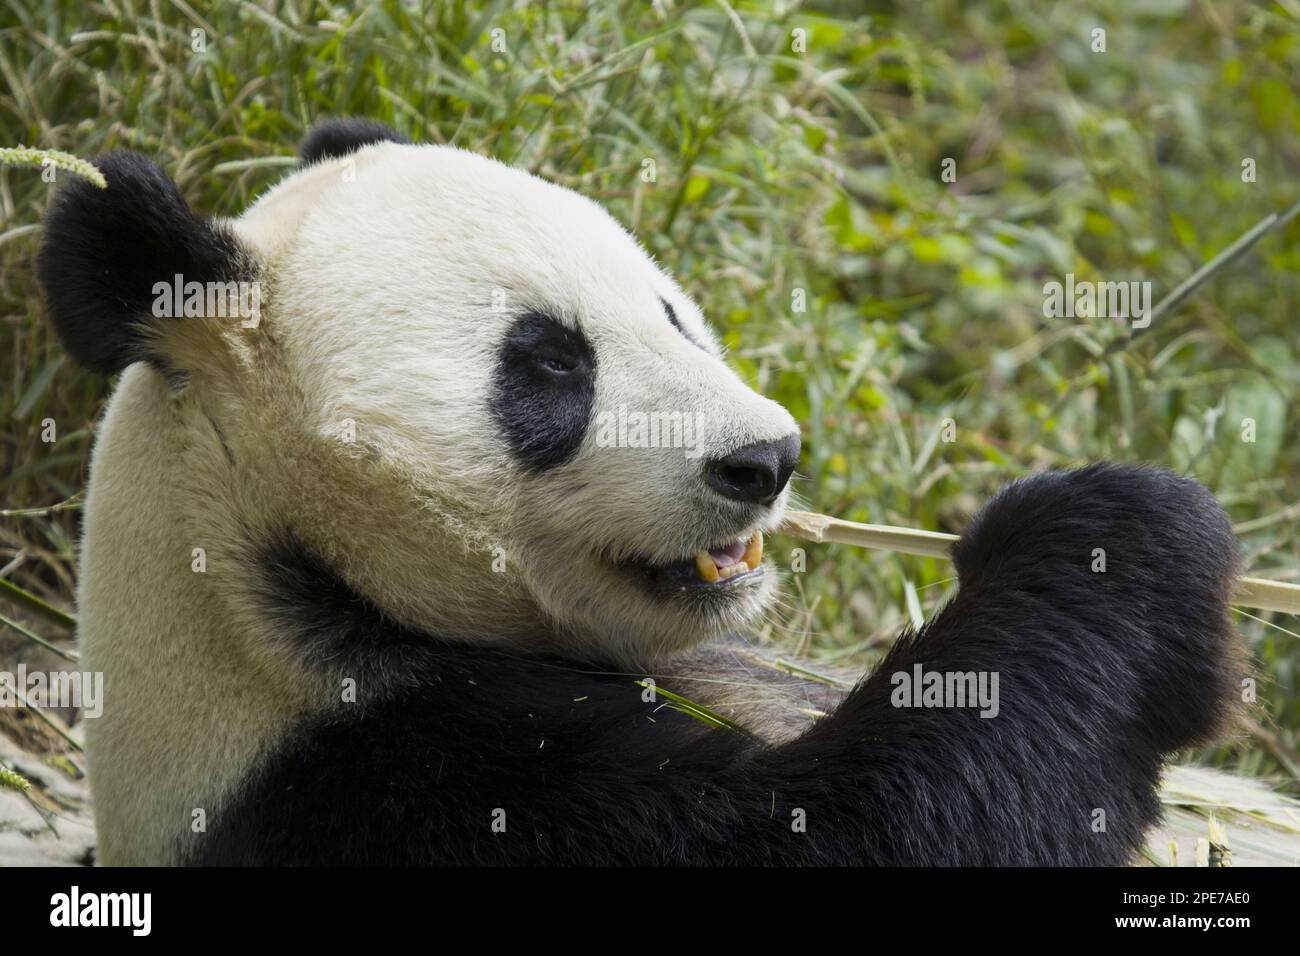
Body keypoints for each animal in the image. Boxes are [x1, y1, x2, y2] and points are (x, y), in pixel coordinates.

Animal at [35, 119, 1241, 866]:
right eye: (548, 363)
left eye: (671, 313)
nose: (766, 459)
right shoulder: (371, 783)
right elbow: (866, 825)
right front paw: (1114, 535)